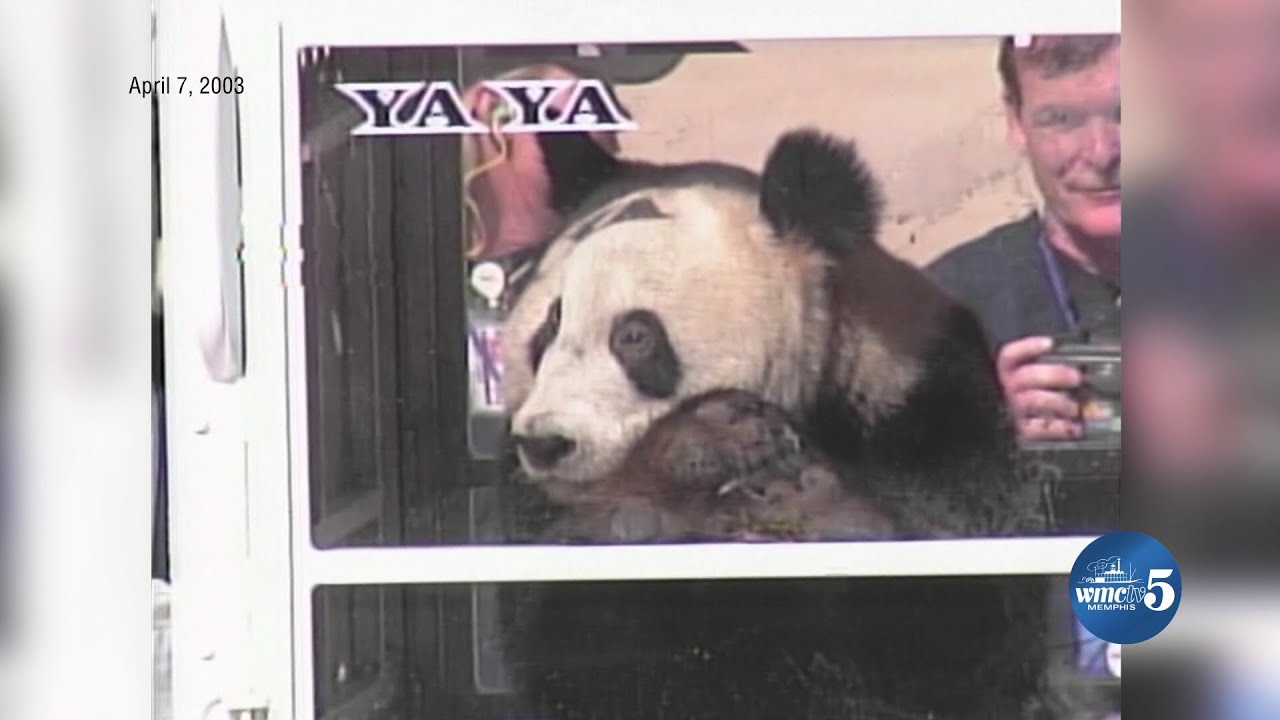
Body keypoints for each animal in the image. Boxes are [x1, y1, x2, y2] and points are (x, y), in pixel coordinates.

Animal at [493, 129, 1073, 719]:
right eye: (550, 325)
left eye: (634, 336)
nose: (546, 442)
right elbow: (580, 643)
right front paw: (702, 446)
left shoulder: (928, 403)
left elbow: (958, 623)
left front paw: (817, 504)